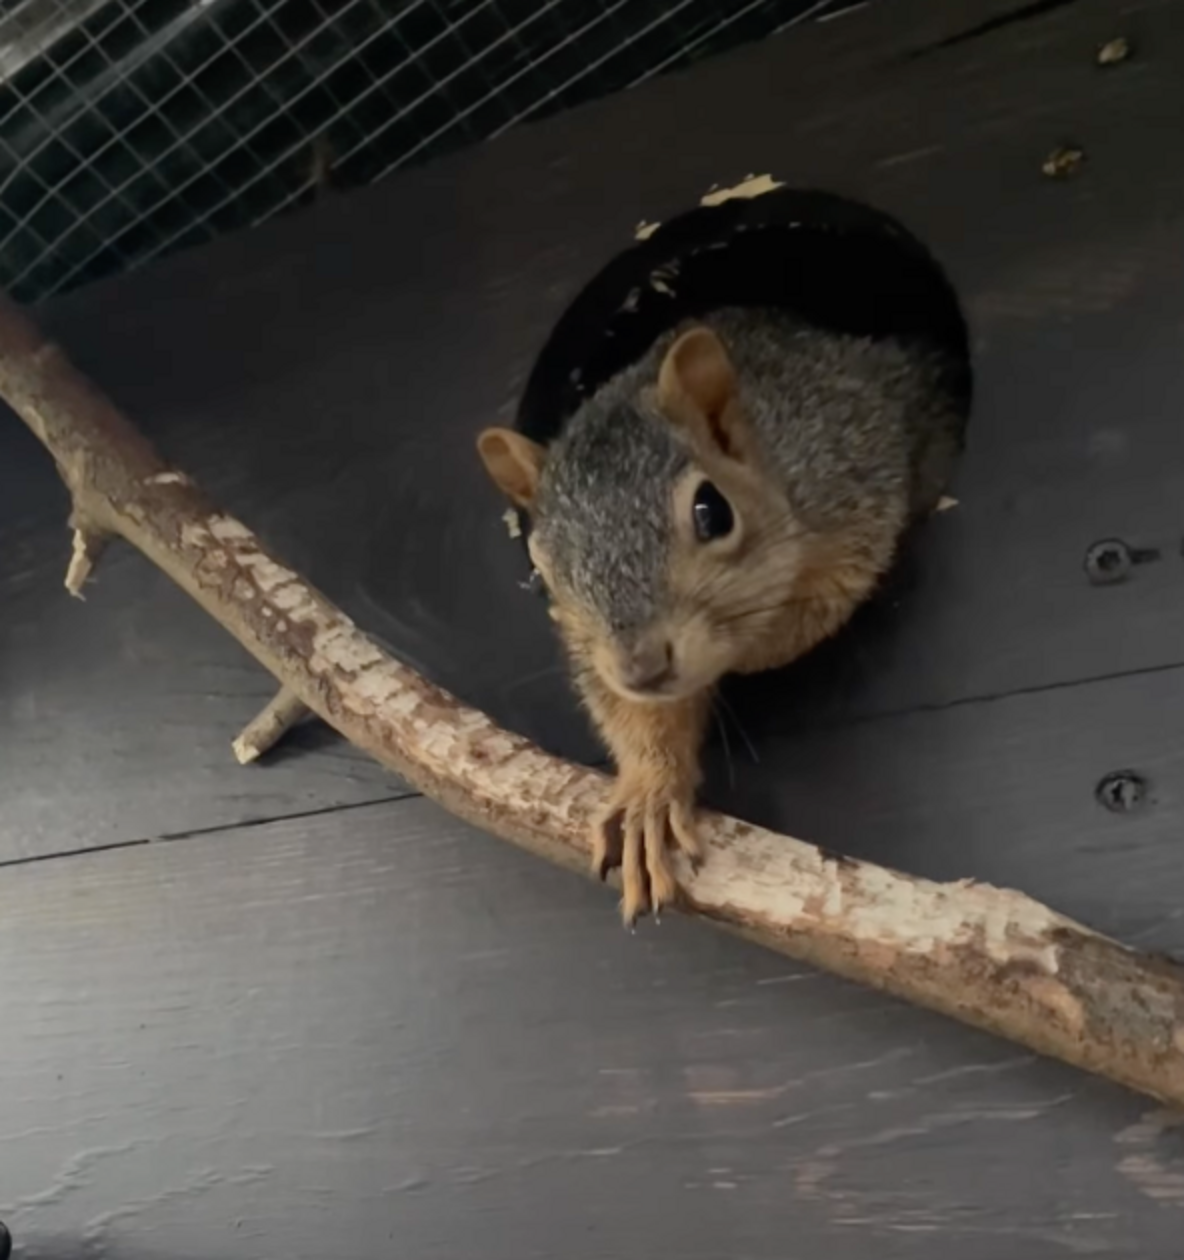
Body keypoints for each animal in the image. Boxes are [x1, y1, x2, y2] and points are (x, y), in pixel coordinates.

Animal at [478, 306, 963, 925]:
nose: (642, 668)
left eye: (713, 511)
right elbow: (634, 715)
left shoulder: (856, 476)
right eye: (541, 564)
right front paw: (649, 798)